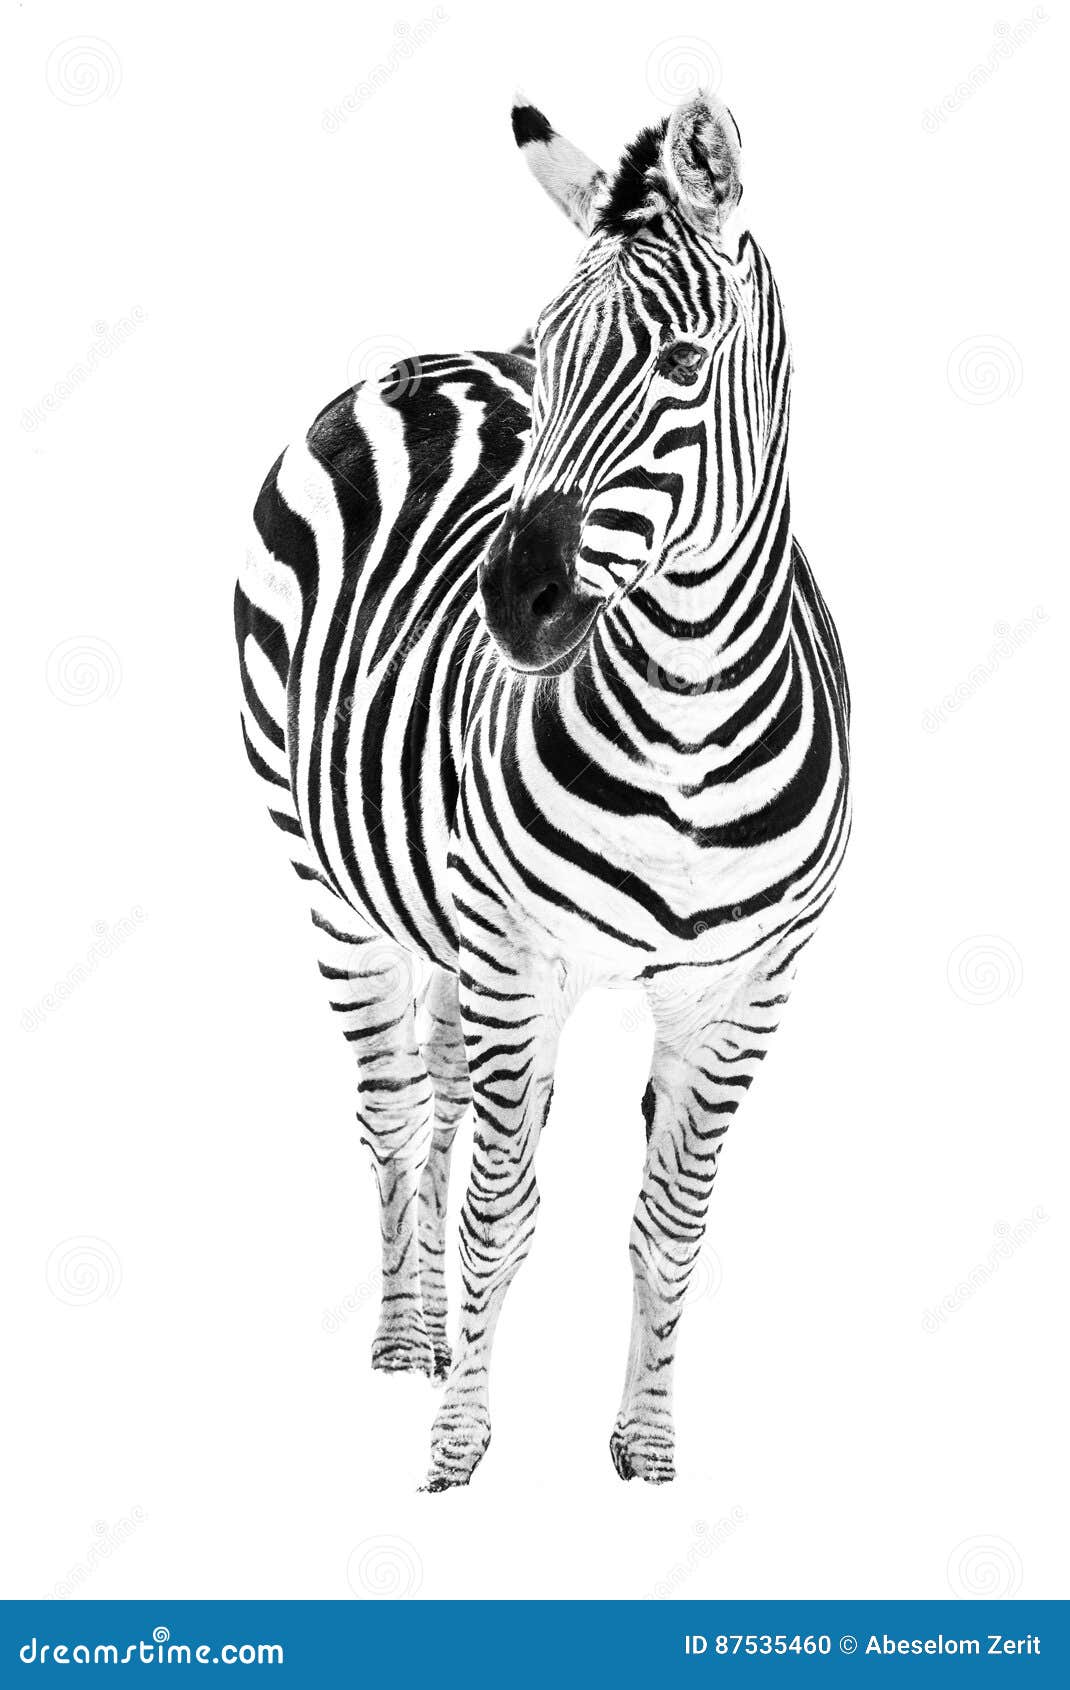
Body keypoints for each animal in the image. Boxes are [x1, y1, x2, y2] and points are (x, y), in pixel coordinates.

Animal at [235, 88, 851, 1490]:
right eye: (548, 354)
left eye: (679, 364)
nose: (513, 606)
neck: (688, 727)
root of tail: (427, 364)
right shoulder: (526, 956)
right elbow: (500, 1209)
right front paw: (456, 1451)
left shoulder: (742, 987)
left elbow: (670, 1220)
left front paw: (646, 1452)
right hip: (331, 886)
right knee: (394, 1108)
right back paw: (408, 1342)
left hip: (441, 912)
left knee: (440, 1090)